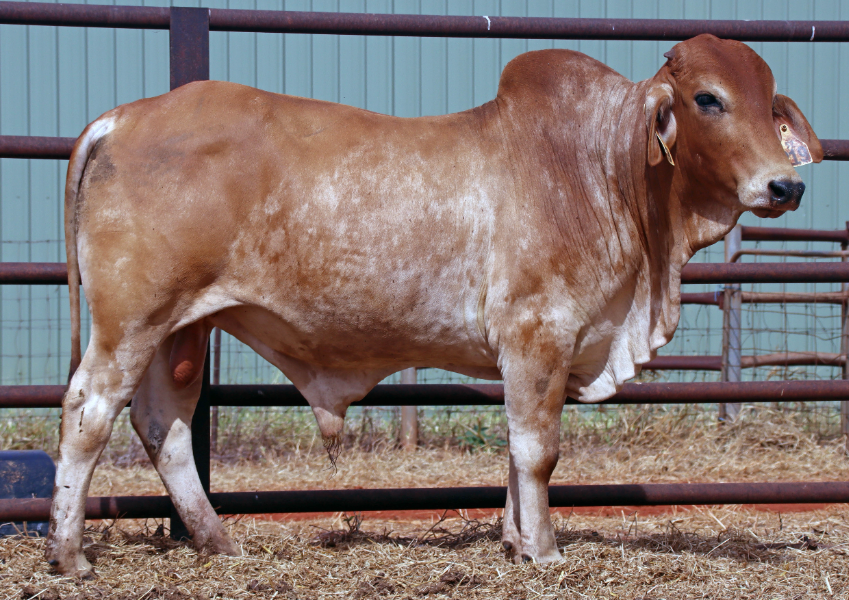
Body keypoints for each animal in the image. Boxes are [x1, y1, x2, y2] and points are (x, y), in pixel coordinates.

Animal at [46, 33, 821, 575]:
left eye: (769, 100)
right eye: (708, 98)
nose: (785, 186)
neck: (603, 169)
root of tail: (123, 117)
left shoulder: (533, 355)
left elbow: (515, 449)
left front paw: (515, 542)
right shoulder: (539, 333)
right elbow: (539, 451)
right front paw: (544, 550)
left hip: (180, 329)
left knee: (162, 424)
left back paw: (218, 541)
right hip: (131, 320)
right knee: (87, 411)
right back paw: (69, 554)